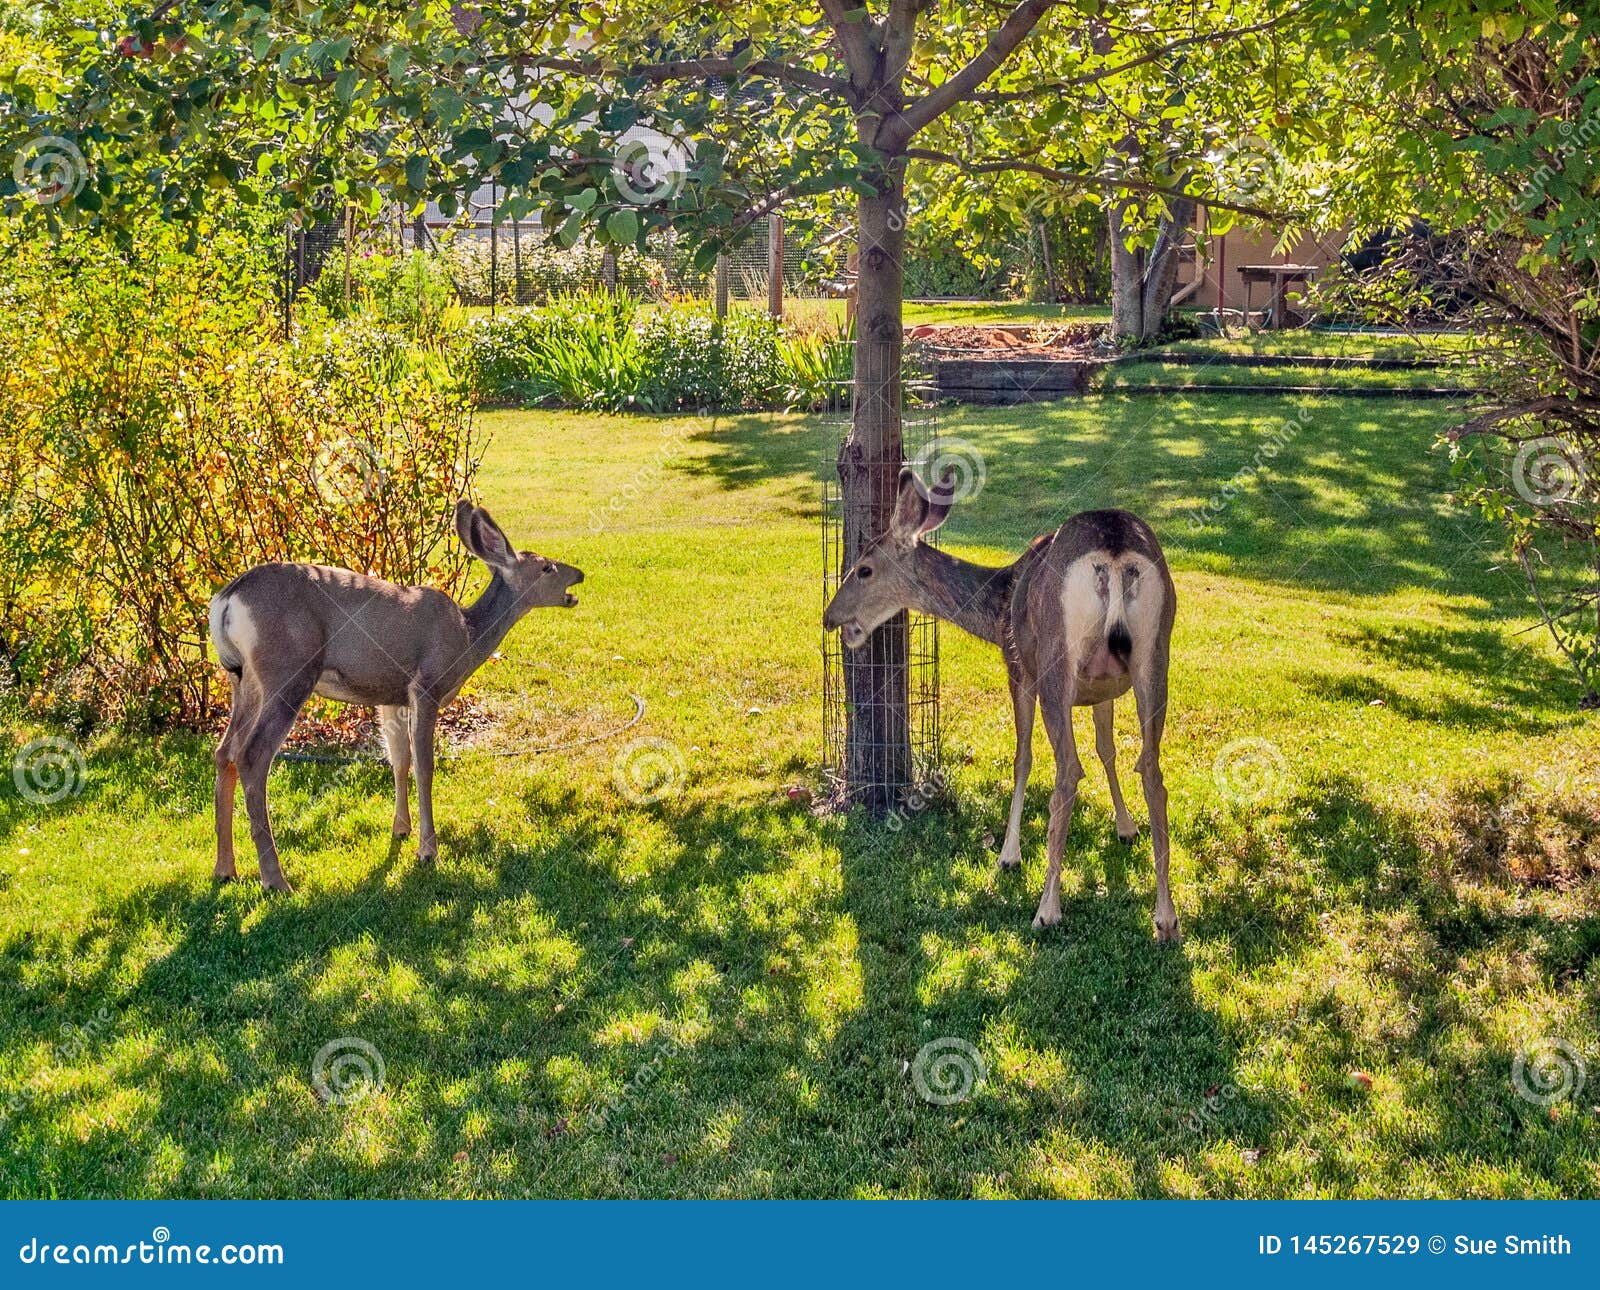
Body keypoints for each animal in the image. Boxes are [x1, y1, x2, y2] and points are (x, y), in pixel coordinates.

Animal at [208, 501, 584, 893]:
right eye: (547, 567)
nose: (581, 575)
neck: (467, 638)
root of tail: (225, 601)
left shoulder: (391, 695)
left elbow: (398, 759)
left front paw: (401, 829)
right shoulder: (426, 685)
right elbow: (424, 765)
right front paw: (428, 849)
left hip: (242, 679)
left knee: (224, 751)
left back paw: (225, 867)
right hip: (288, 668)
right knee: (251, 755)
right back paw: (275, 879)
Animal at [823, 468, 1179, 940]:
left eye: (864, 569)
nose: (829, 617)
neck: (997, 610)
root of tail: (1115, 555)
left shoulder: (1017, 668)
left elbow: (1022, 757)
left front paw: (1009, 854)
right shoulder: (1104, 685)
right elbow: (1108, 750)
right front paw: (1125, 828)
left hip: (1054, 661)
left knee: (1068, 770)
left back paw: (1047, 908)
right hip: (1155, 655)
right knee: (1152, 769)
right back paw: (1167, 916)